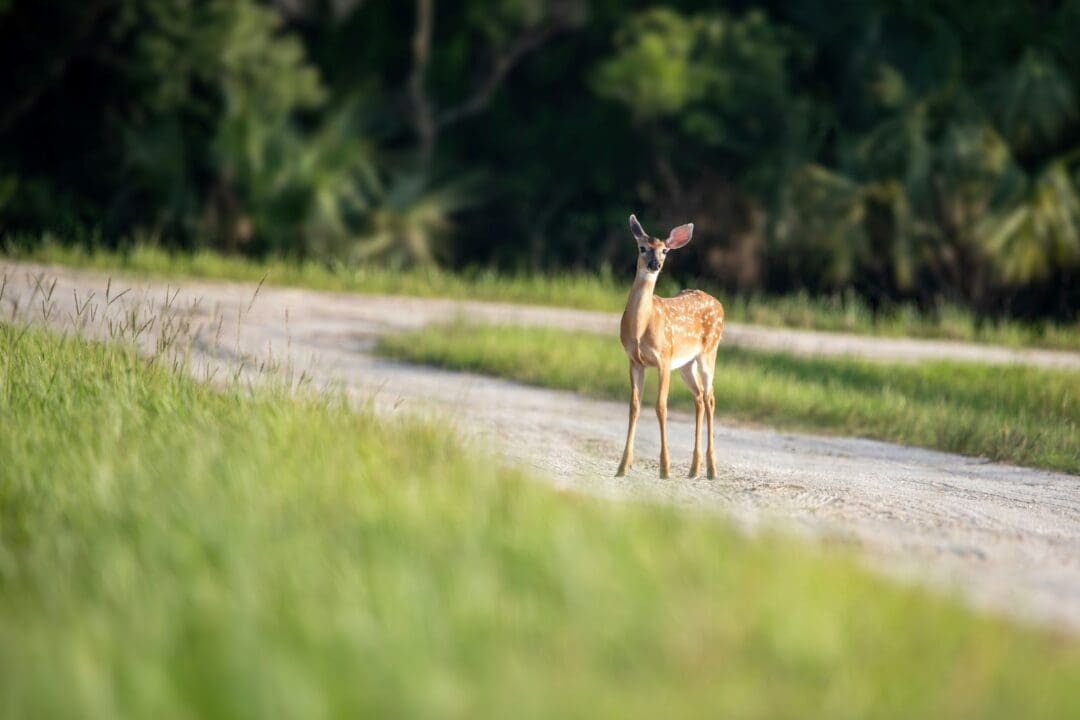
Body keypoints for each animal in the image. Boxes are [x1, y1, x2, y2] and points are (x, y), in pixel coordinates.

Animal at [615, 214, 725, 480]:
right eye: (642, 247)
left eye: (665, 250)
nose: (655, 264)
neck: (640, 327)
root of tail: (719, 304)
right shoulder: (634, 360)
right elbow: (634, 407)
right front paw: (623, 466)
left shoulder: (664, 358)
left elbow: (661, 407)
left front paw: (665, 468)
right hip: (686, 364)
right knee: (699, 397)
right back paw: (694, 469)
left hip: (709, 352)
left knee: (710, 397)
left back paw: (712, 469)